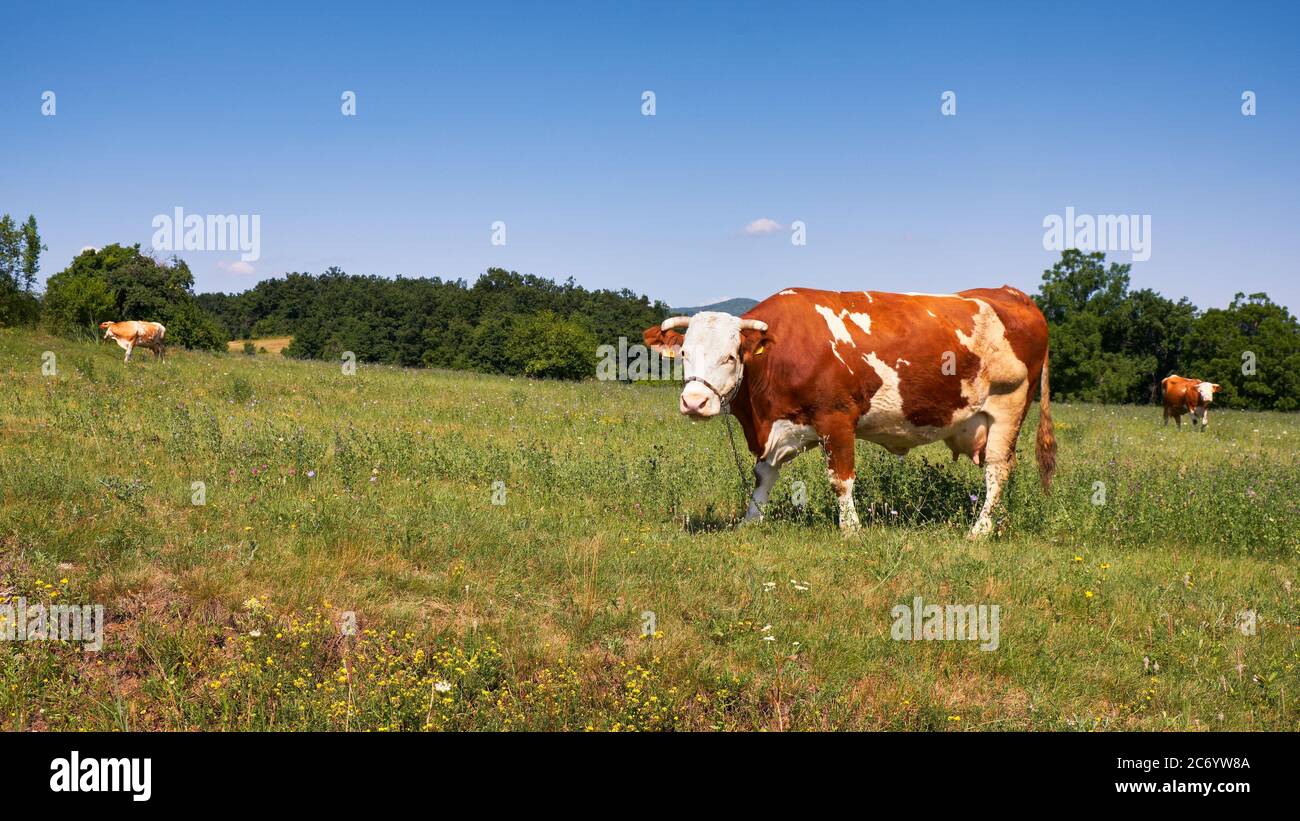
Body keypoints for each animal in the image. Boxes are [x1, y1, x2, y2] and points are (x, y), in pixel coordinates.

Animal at [643, 286, 1055, 537]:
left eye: (730, 356)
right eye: (685, 353)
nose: (694, 402)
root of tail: (1011, 292)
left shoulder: (838, 419)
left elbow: (841, 479)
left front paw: (851, 530)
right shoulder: (777, 426)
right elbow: (763, 477)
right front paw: (750, 522)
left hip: (1007, 410)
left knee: (997, 472)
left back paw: (979, 531)